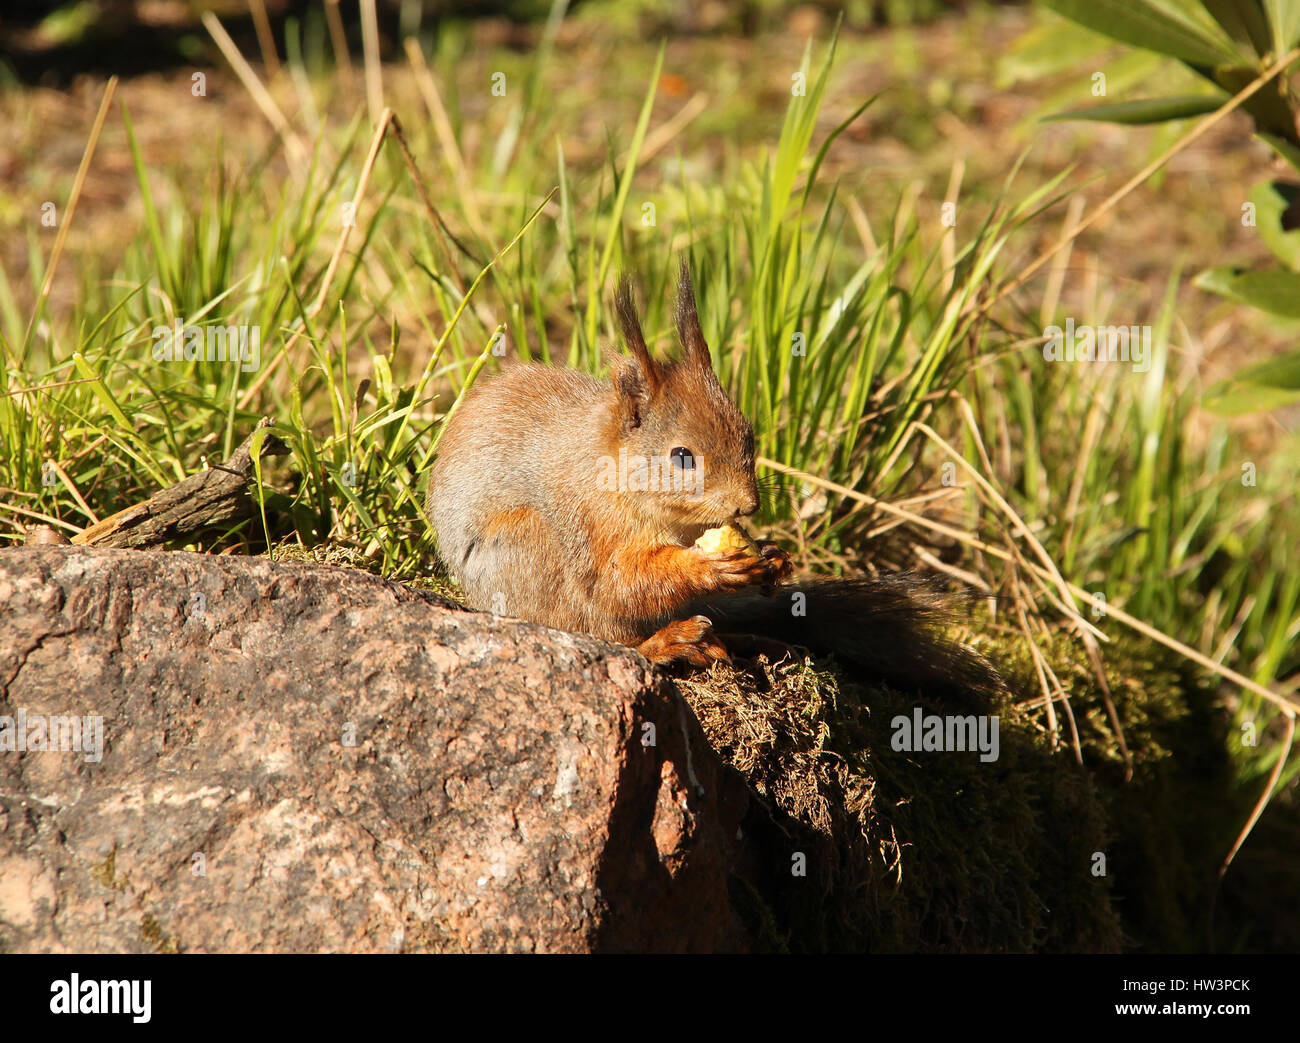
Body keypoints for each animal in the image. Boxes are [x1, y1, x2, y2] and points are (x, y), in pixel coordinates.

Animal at [426, 261, 997, 698]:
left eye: (750, 433)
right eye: (681, 456)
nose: (748, 505)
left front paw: (774, 556)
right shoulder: (586, 526)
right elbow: (617, 583)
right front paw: (709, 566)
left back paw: (750, 639)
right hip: (526, 552)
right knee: (604, 634)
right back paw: (670, 642)